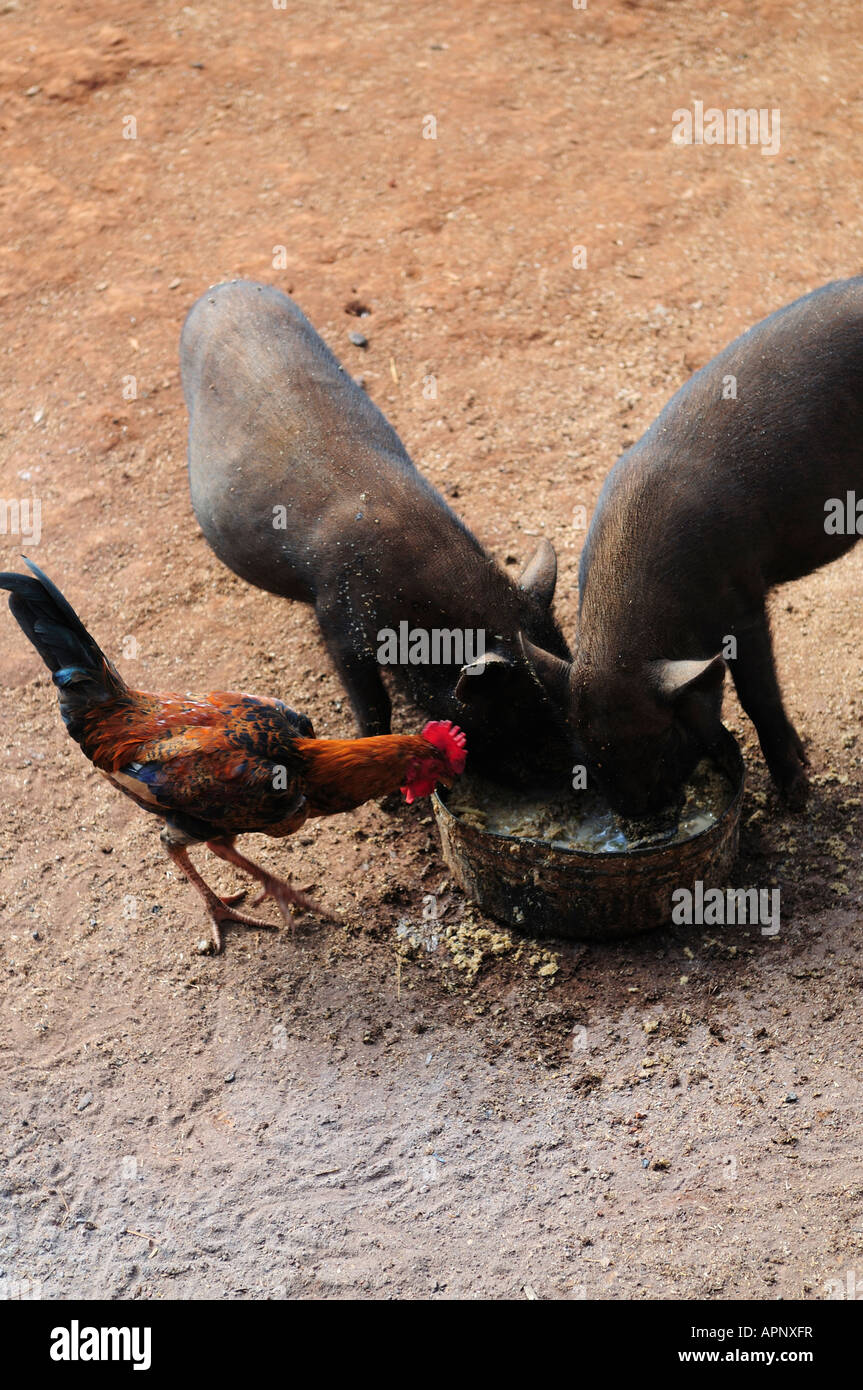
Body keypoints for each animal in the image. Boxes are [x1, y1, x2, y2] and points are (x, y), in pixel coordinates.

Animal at [522, 276, 863, 814]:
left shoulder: (744, 602)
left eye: (660, 741)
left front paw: (796, 794)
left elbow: (759, 695)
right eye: (590, 757)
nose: (643, 816)